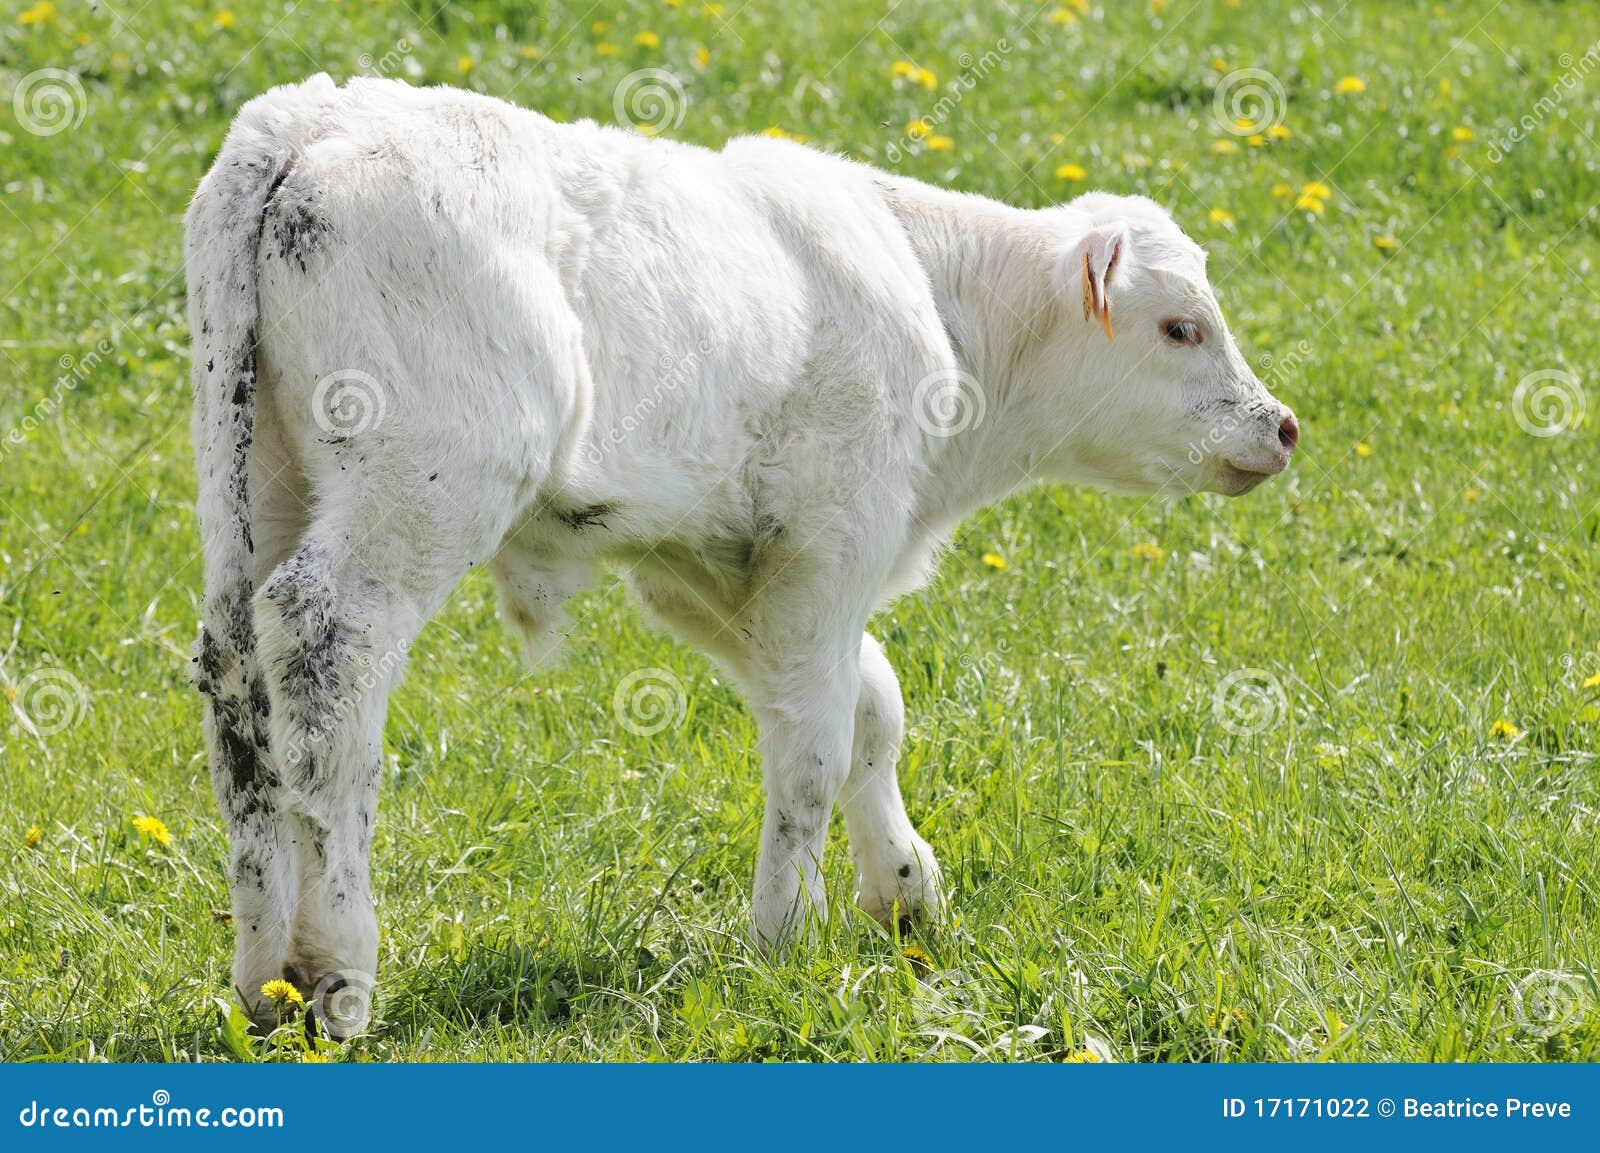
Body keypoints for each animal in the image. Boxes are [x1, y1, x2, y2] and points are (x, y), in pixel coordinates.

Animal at [186, 74, 1298, 1037]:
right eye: (1181, 327)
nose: (1280, 426)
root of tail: (308, 122)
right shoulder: (830, 542)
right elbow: (812, 749)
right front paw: (786, 933)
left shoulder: (709, 569)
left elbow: (869, 705)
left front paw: (904, 890)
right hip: (417, 492)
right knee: (327, 649)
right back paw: (337, 969)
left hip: (251, 483)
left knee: (239, 679)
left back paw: (264, 976)